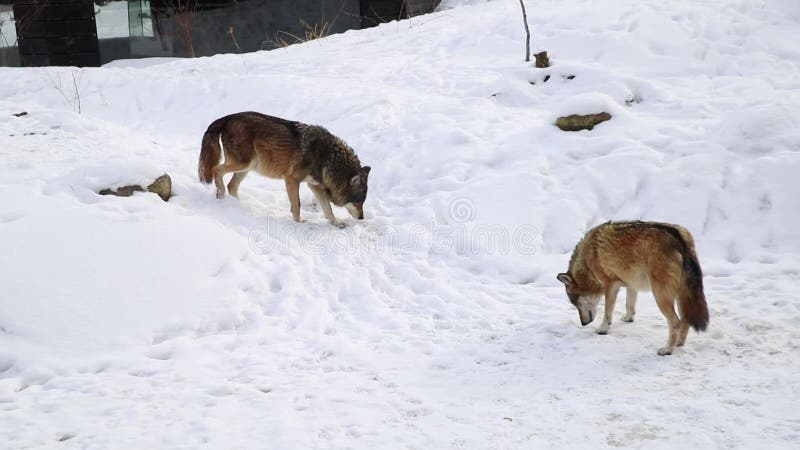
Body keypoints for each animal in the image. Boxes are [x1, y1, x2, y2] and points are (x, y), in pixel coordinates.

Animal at [198, 111, 370, 226]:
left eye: (363, 202)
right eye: (358, 202)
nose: (362, 218)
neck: (328, 158)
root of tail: (227, 117)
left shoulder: (314, 185)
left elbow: (328, 209)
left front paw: (336, 223)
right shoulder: (292, 179)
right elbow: (297, 205)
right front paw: (299, 223)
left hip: (248, 167)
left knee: (232, 185)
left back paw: (238, 205)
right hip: (244, 164)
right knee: (216, 170)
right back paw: (221, 194)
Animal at [556, 221, 709, 355]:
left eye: (576, 303)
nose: (583, 323)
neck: (587, 261)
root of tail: (680, 240)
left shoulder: (610, 285)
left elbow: (607, 313)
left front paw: (603, 329)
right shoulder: (631, 285)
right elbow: (629, 305)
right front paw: (628, 319)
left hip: (660, 296)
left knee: (676, 322)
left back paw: (667, 350)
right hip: (681, 296)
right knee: (685, 320)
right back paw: (679, 344)